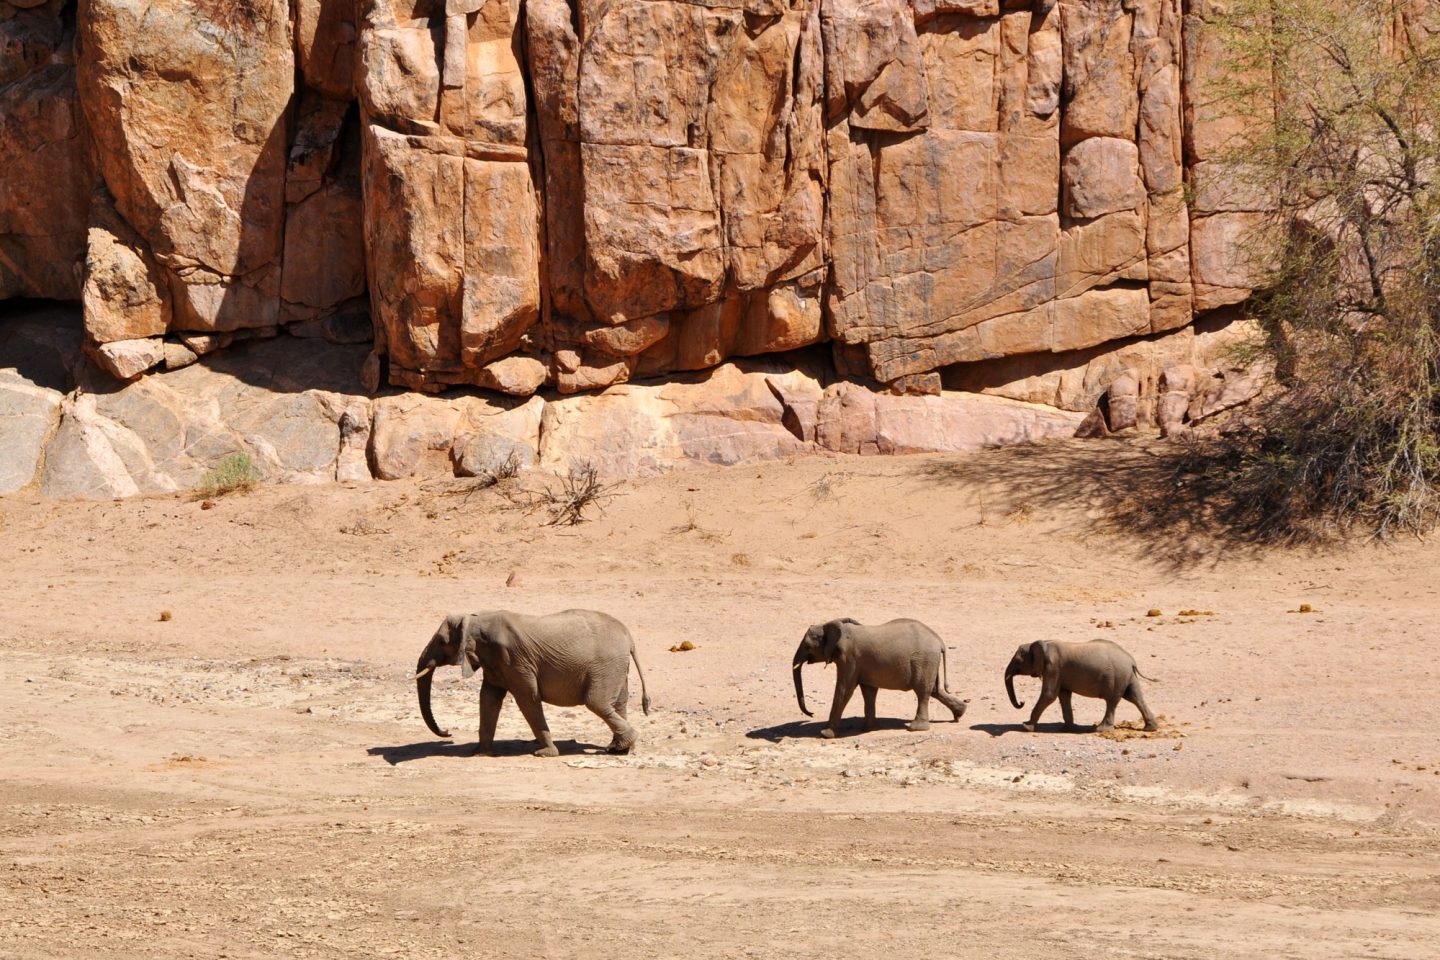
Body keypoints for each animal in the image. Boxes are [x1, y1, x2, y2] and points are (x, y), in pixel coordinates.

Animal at [411, 609, 651, 757]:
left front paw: (545, 753)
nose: (448, 734)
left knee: (597, 703)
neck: (476, 619)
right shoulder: (496, 661)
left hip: (606, 666)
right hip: (616, 667)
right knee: (617, 704)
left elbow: (528, 699)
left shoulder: (516, 660)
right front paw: (480, 753)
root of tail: (630, 638)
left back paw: (626, 743)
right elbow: (488, 698)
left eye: (442, 641)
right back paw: (620, 749)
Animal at [792, 618, 968, 738]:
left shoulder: (849, 659)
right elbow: (868, 691)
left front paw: (825, 734)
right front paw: (869, 729)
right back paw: (960, 713)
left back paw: (915, 728)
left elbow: (844, 690)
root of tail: (940, 641)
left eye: (808, 646)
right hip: (929, 662)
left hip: (924, 660)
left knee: (922, 691)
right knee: (935, 690)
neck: (831, 624)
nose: (811, 714)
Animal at [1004, 639, 1158, 733]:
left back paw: (1100, 730)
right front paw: (1067, 729)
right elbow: (1063, 696)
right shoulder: (1058, 672)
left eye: (1017, 661)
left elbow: (1049, 695)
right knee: (1135, 698)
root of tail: (1131, 660)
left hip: (1118, 676)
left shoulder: (1053, 668)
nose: (1022, 702)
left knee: (1112, 701)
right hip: (1127, 676)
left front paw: (1025, 726)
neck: (1044, 643)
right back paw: (1151, 728)